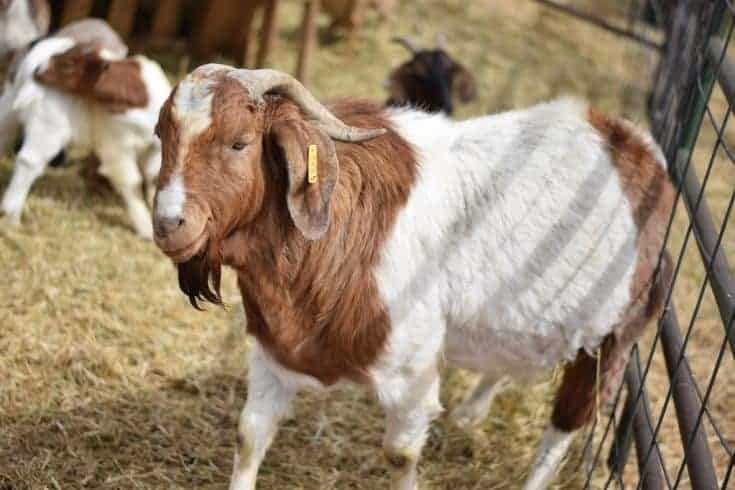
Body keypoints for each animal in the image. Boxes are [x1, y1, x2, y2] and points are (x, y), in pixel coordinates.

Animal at [0, 37, 171, 238]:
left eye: (67, 65)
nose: (39, 71)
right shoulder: (115, 144)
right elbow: (131, 181)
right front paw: (145, 227)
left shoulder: (157, 147)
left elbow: (154, 177)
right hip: (48, 124)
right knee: (29, 161)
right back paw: (11, 215)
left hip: (10, 106)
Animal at [151, 65, 674, 490]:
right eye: (161, 136)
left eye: (239, 142)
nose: (168, 222)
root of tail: (640, 148)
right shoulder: (274, 351)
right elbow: (250, 434)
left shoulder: (412, 372)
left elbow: (400, 455)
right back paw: (470, 413)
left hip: (612, 339)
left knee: (566, 426)